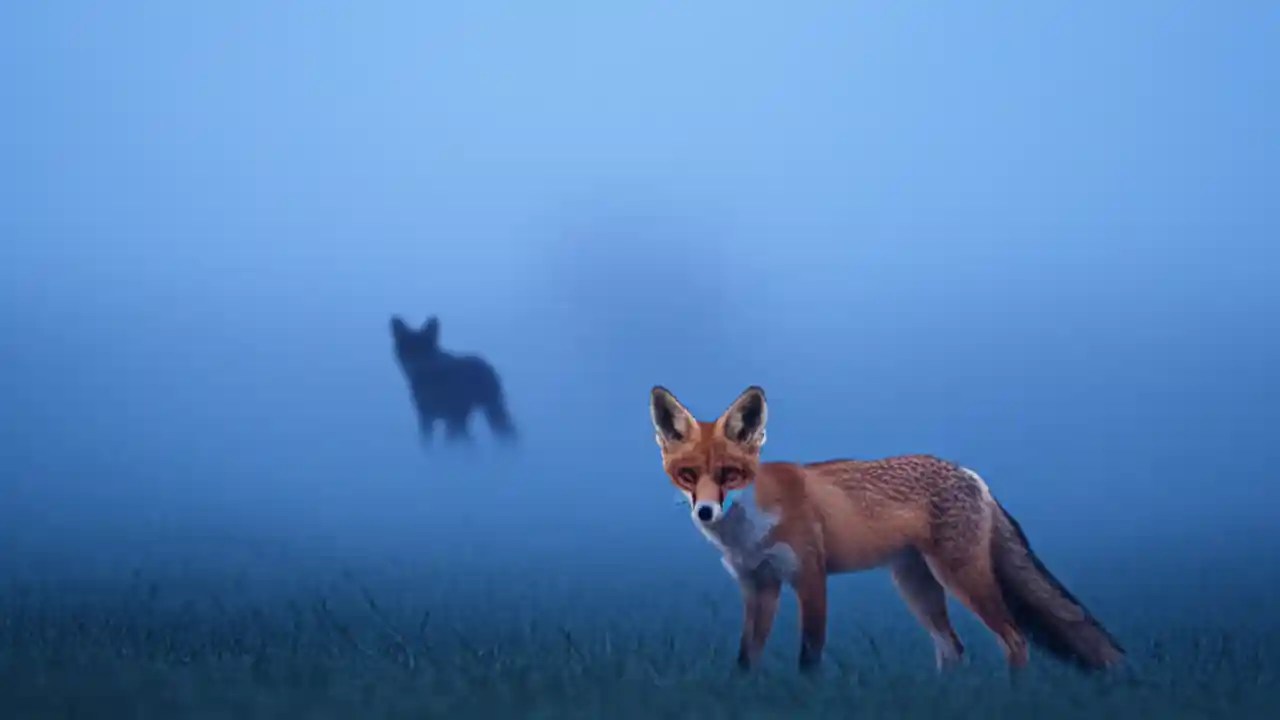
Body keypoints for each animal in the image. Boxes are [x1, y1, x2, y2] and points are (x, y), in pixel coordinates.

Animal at [390, 315, 516, 446]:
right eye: (408, 348)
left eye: (425, 348)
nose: (415, 364)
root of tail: (486, 362)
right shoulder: (426, 417)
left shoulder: (453, 416)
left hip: (489, 410)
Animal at [648, 385, 1124, 674]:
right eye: (688, 475)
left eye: (729, 474)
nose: (705, 512)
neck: (750, 528)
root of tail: (973, 475)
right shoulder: (758, 586)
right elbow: (746, 658)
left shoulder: (810, 577)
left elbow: (809, 656)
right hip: (915, 585)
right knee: (953, 649)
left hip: (962, 578)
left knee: (1014, 640)